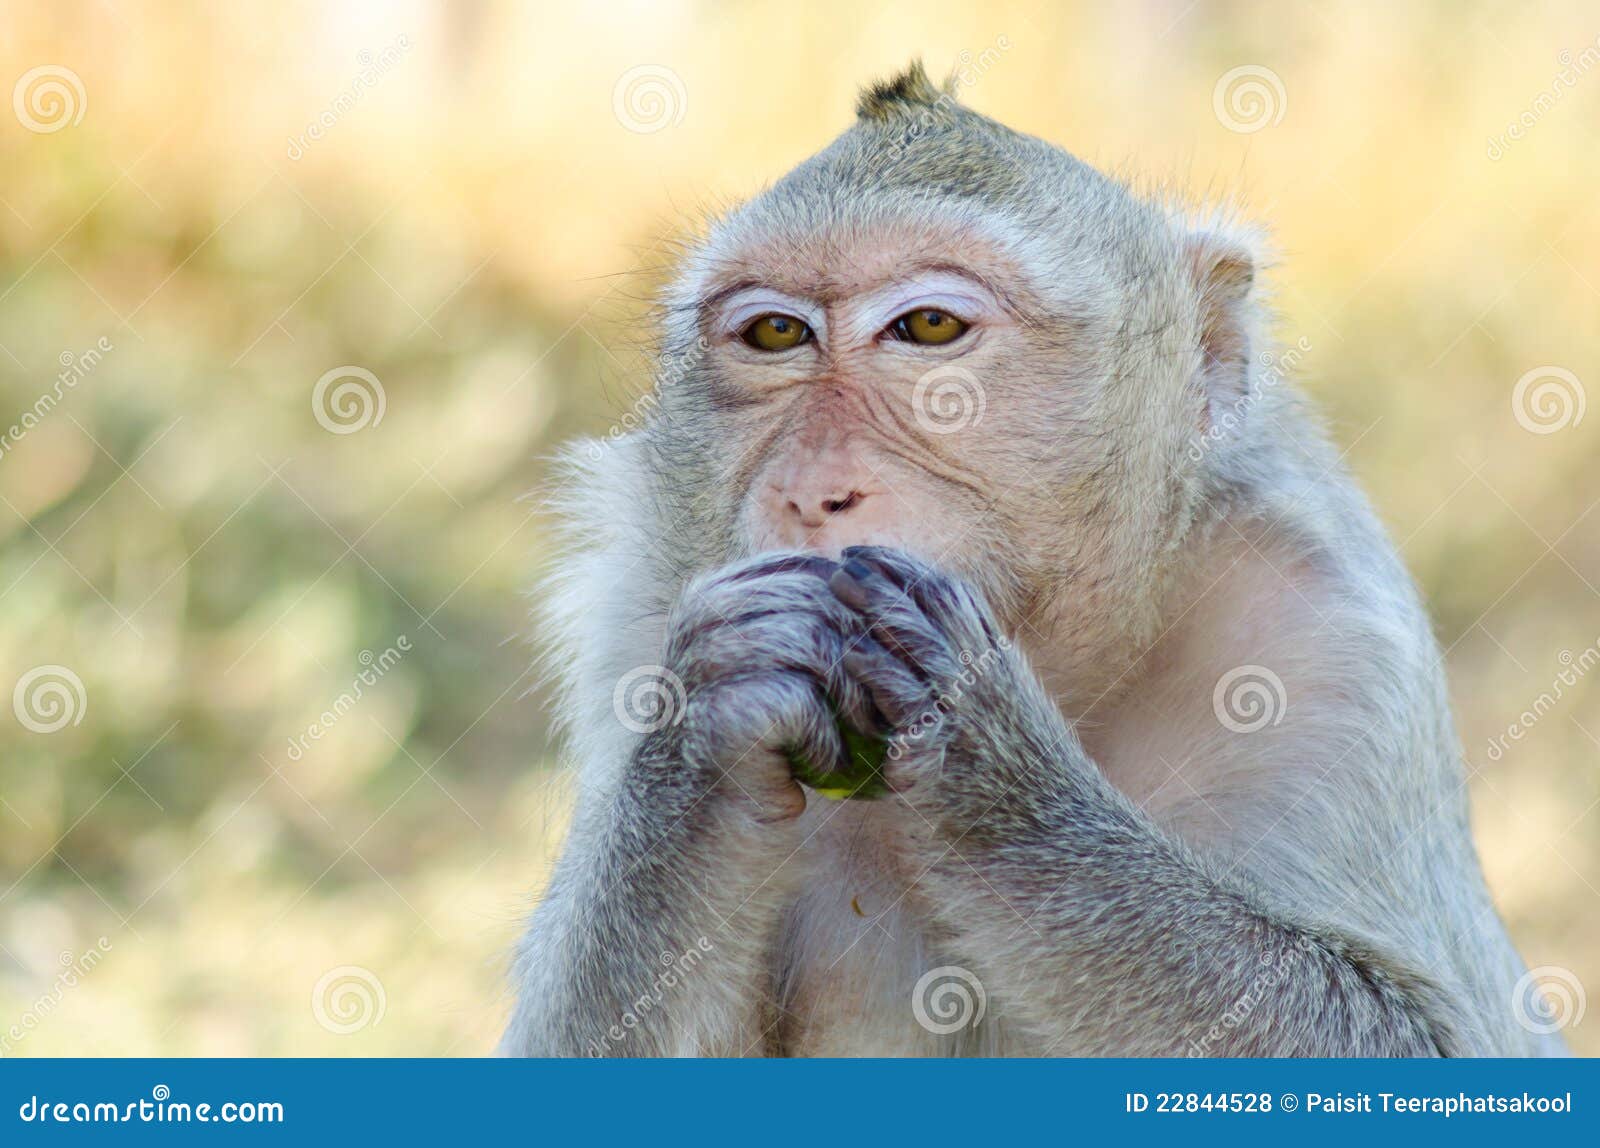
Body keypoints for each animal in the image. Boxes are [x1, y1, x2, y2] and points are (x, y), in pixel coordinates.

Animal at [500, 63, 1561, 1057]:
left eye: (929, 328)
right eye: (775, 333)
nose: (814, 489)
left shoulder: (1327, 635)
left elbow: (1415, 1033)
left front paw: (989, 767)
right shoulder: (633, 606)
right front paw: (705, 733)